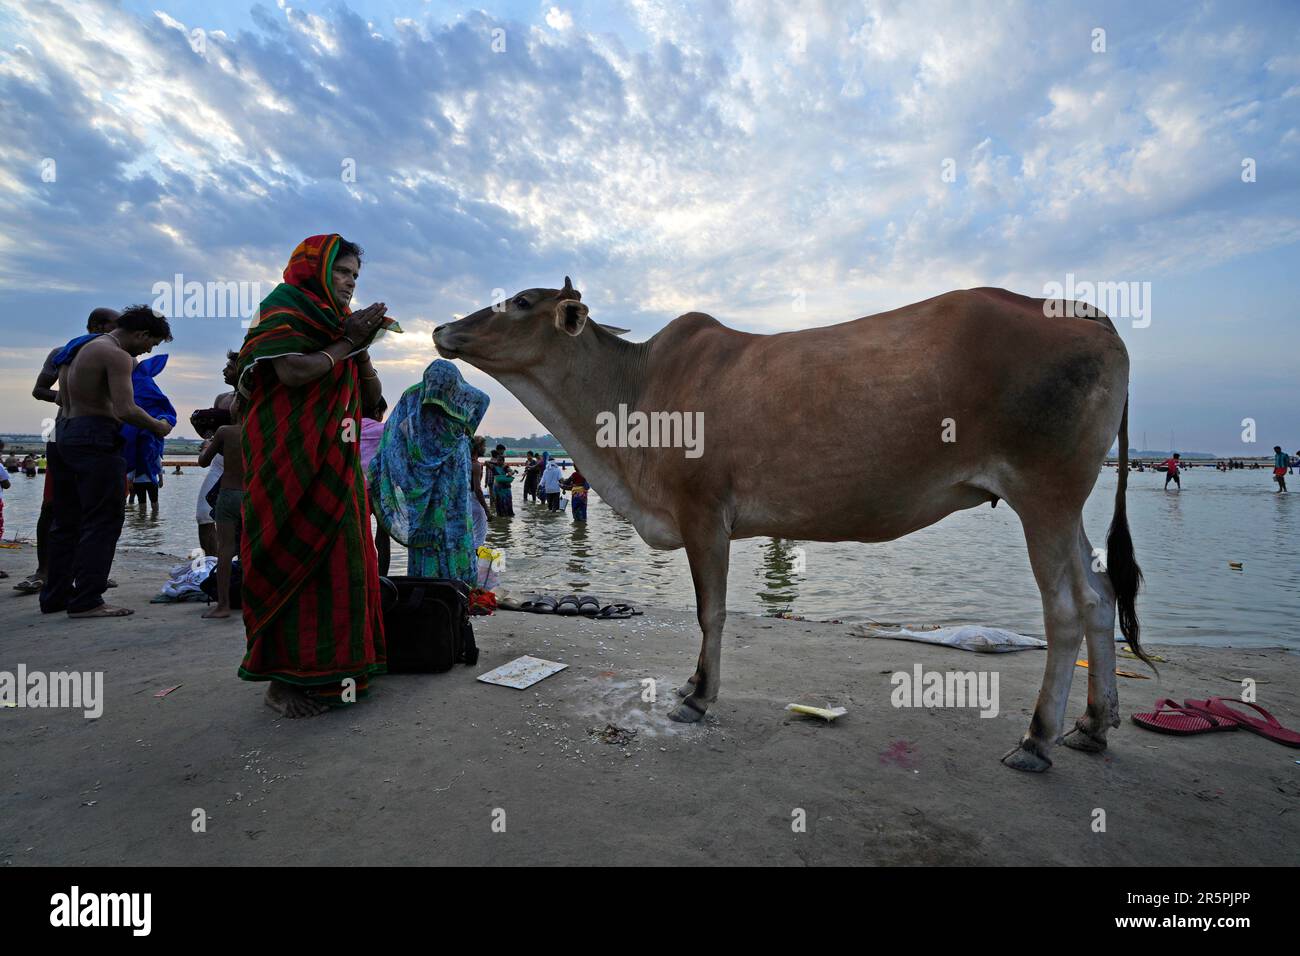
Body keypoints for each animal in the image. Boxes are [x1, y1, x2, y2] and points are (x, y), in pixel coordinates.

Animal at [433, 279, 1147, 772]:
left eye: (521, 301)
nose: (440, 328)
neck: (634, 395)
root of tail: (1095, 316)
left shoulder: (704, 511)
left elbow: (711, 611)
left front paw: (697, 694)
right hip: (1063, 505)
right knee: (1101, 594)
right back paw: (1092, 724)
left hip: (1044, 493)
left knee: (1066, 609)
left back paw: (1036, 738)